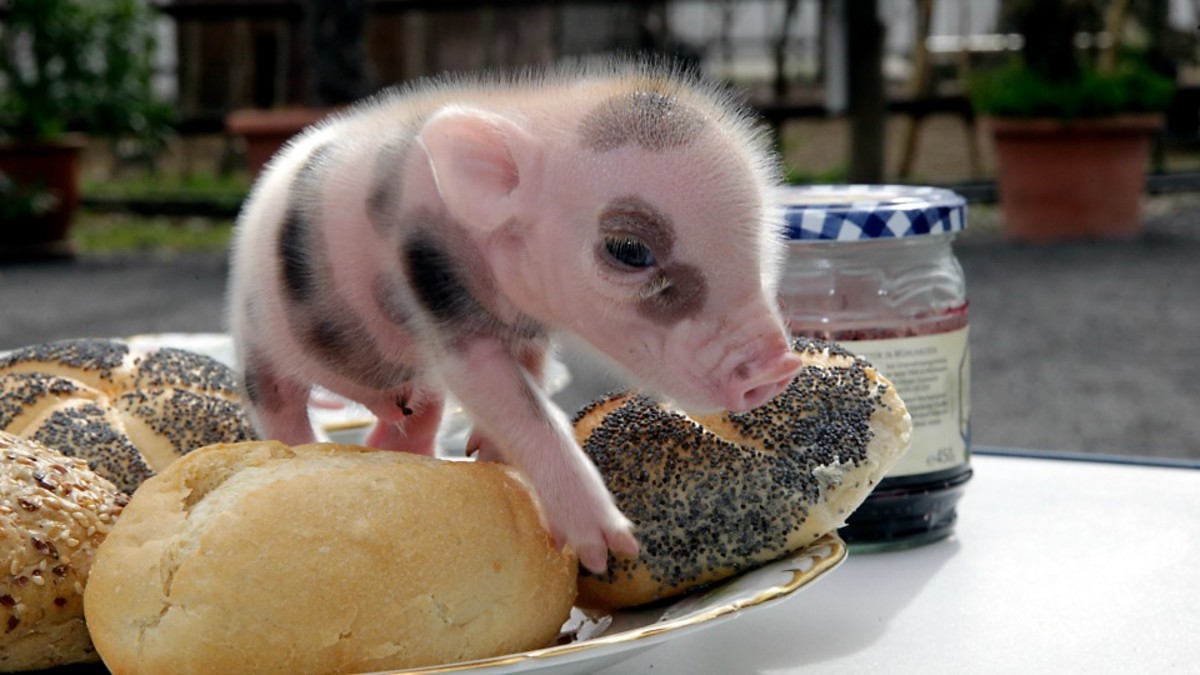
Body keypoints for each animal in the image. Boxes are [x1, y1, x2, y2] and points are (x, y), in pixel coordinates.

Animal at [226, 58, 804, 573]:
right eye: (628, 250)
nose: (779, 367)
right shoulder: (437, 293)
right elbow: (514, 400)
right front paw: (608, 549)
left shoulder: (525, 330)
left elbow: (531, 378)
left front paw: (483, 452)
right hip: (259, 346)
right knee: (281, 404)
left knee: (421, 409)